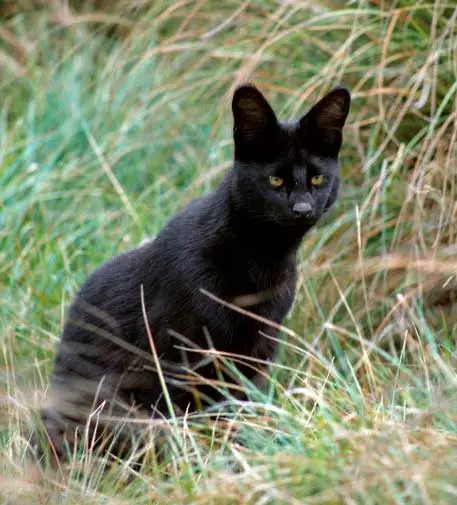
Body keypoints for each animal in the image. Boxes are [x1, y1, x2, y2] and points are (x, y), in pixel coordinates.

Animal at [33, 82, 350, 464]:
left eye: (318, 177)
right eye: (275, 179)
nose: (302, 208)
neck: (260, 262)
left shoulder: (257, 352)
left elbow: (237, 411)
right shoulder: (178, 354)